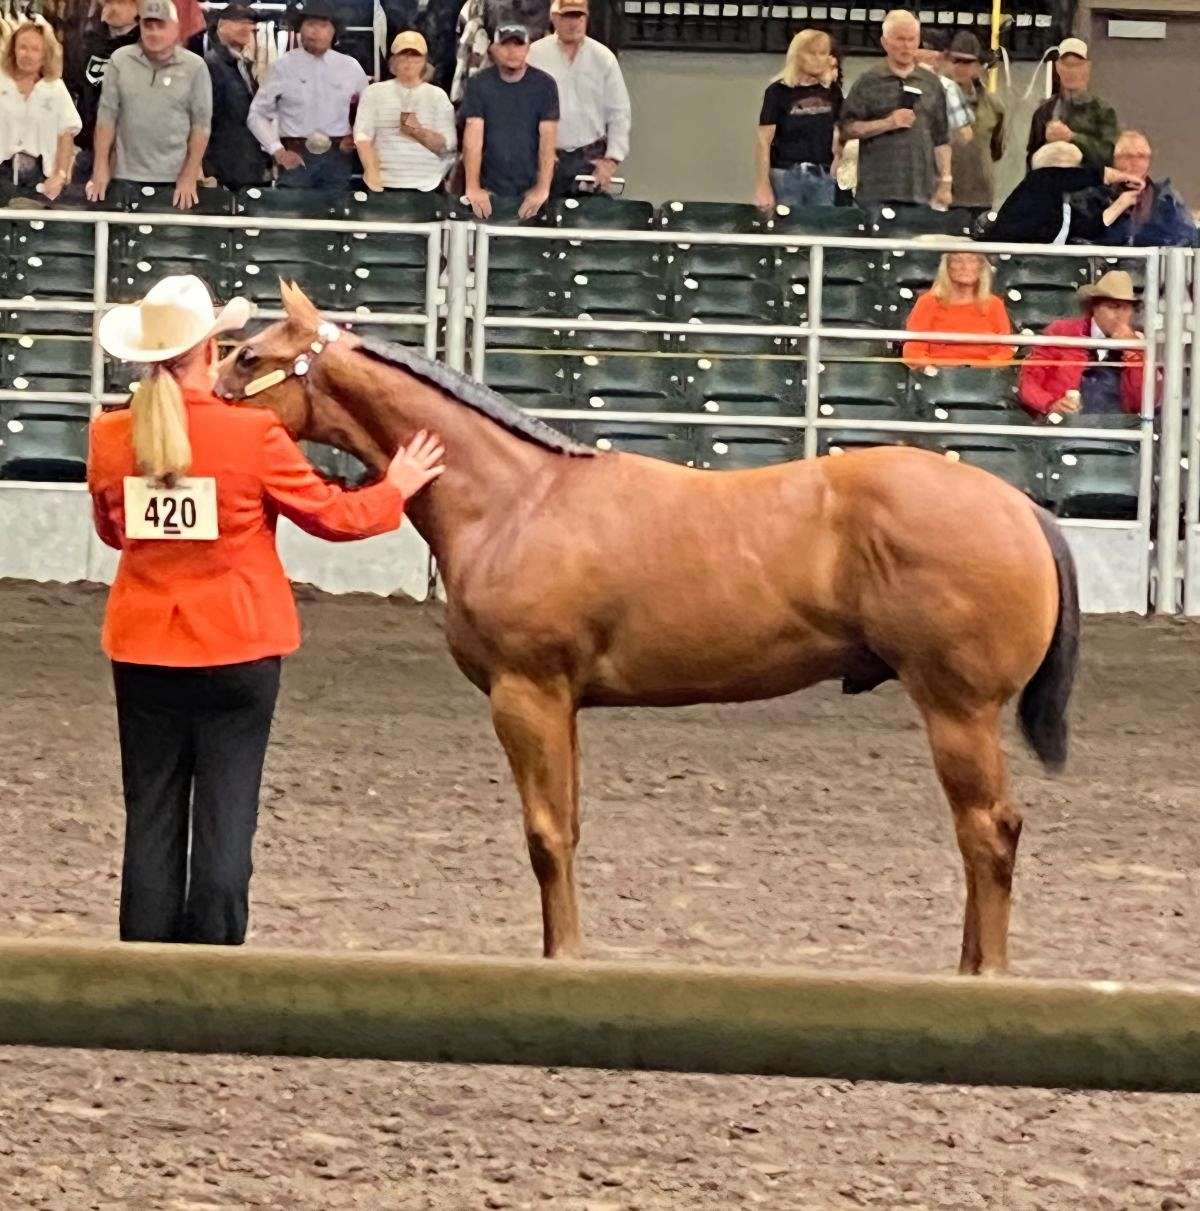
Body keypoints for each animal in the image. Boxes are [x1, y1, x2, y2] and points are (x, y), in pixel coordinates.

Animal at [213, 282, 1079, 976]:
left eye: (249, 355)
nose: (199, 403)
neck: (517, 498)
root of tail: (1019, 507)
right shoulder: (560, 703)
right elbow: (567, 828)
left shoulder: (525, 694)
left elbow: (545, 834)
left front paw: (564, 956)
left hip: (957, 711)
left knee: (988, 832)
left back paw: (986, 972)